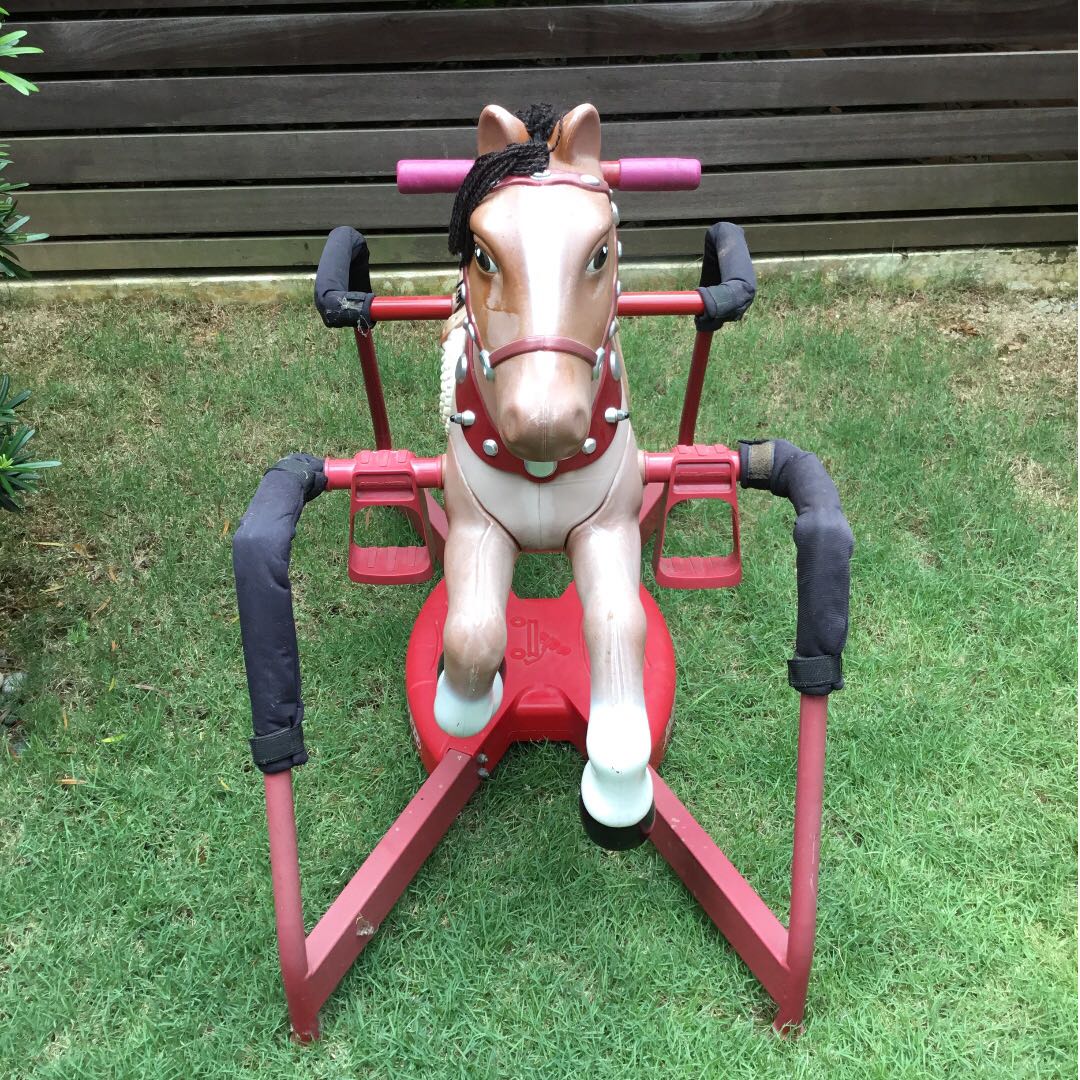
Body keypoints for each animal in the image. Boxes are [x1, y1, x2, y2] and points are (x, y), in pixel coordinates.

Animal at [432, 102, 654, 847]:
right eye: (480, 253)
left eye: (601, 251)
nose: (545, 422)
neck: (539, 469)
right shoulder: (473, 525)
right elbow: (473, 630)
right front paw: (464, 705)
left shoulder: (610, 525)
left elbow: (617, 624)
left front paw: (618, 785)